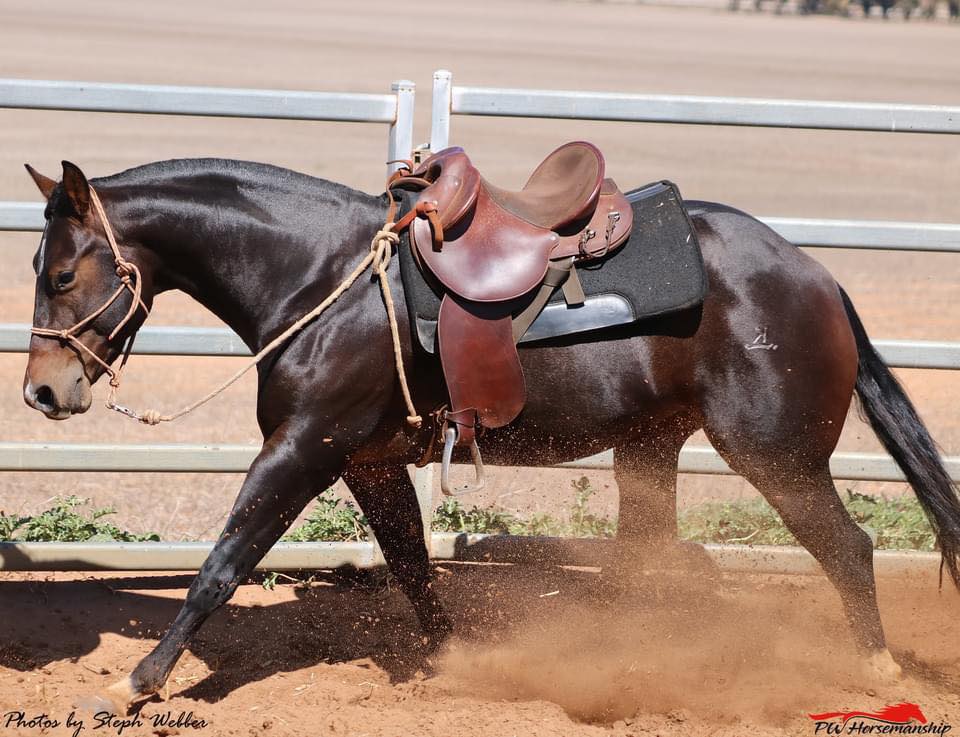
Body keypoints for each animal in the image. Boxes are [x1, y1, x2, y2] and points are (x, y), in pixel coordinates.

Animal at [21, 158, 960, 710]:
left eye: (63, 273)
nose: (41, 390)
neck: (323, 277)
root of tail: (817, 275)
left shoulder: (303, 448)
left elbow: (223, 563)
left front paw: (136, 681)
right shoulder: (367, 462)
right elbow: (412, 565)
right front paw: (458, 661)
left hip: (776, 455)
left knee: (848, 546)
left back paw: (874, 670)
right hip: (650, 449)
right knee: (649, 559)